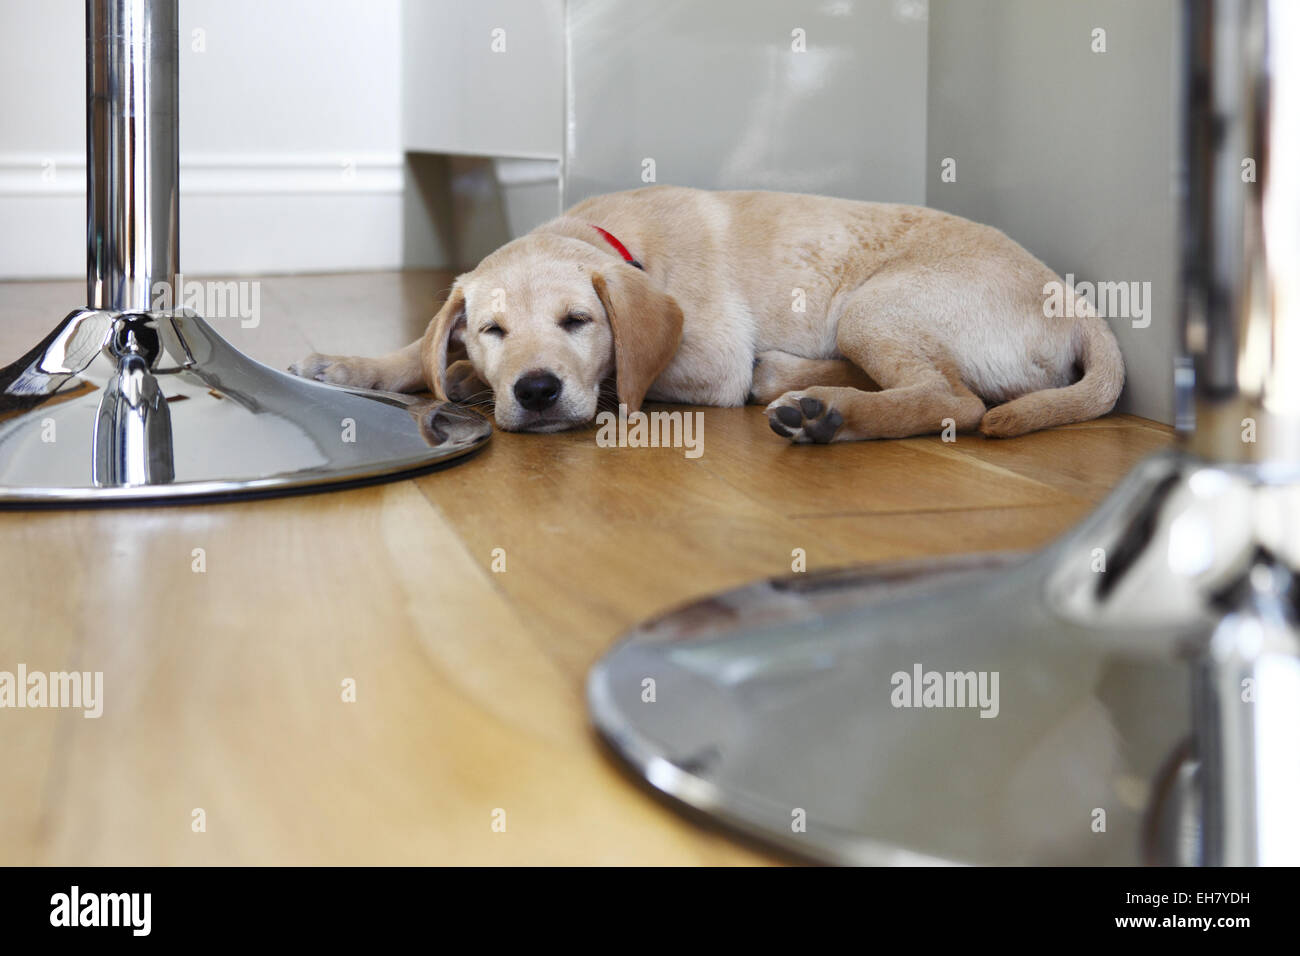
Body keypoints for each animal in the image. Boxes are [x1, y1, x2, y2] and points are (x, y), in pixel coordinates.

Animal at [289, 187, 1123, 444]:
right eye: (494, 330)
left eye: (578, 322)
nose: (534, 391)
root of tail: (1076, 301)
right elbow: (420, 347)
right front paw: (354, 365)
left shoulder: (710, 360)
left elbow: (631, 373)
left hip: (873, 306)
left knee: (956, 398)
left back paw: (827, 410)